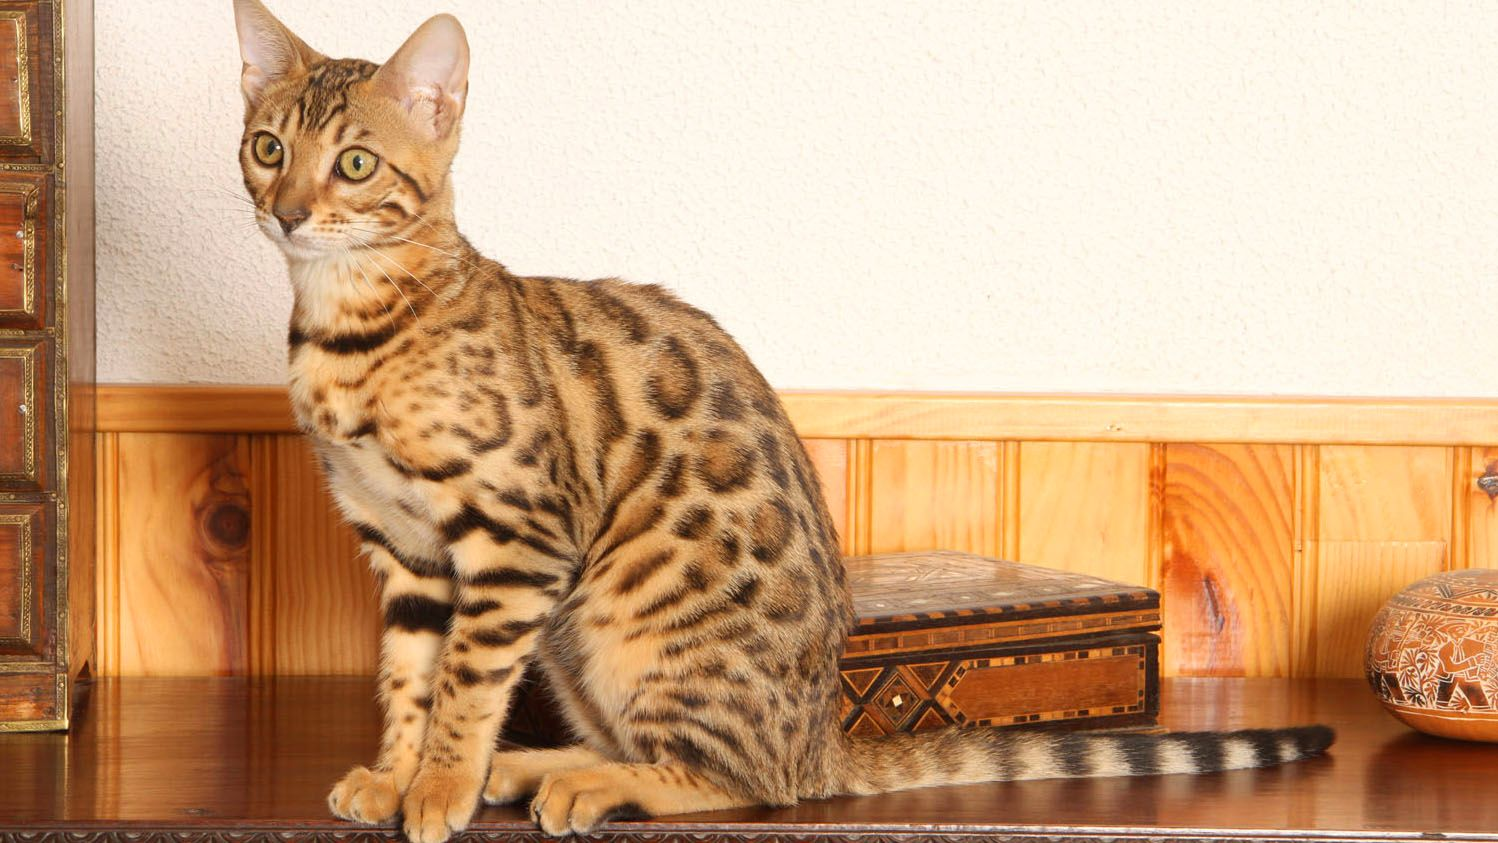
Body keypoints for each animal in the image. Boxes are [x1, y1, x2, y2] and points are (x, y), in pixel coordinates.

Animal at [233, 3, 1336, 838]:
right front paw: (396, 773)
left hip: (630, 623)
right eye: (268, 148)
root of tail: (822, 741)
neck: (349, 331)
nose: (285, 212)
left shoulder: (515, 534)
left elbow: (463, 684)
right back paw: (544, 762)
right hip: (576, 642)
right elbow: (409, 678)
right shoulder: (408, 550)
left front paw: (441, 786)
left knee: (743, 783)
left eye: (358, 165)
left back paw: (581, 782)